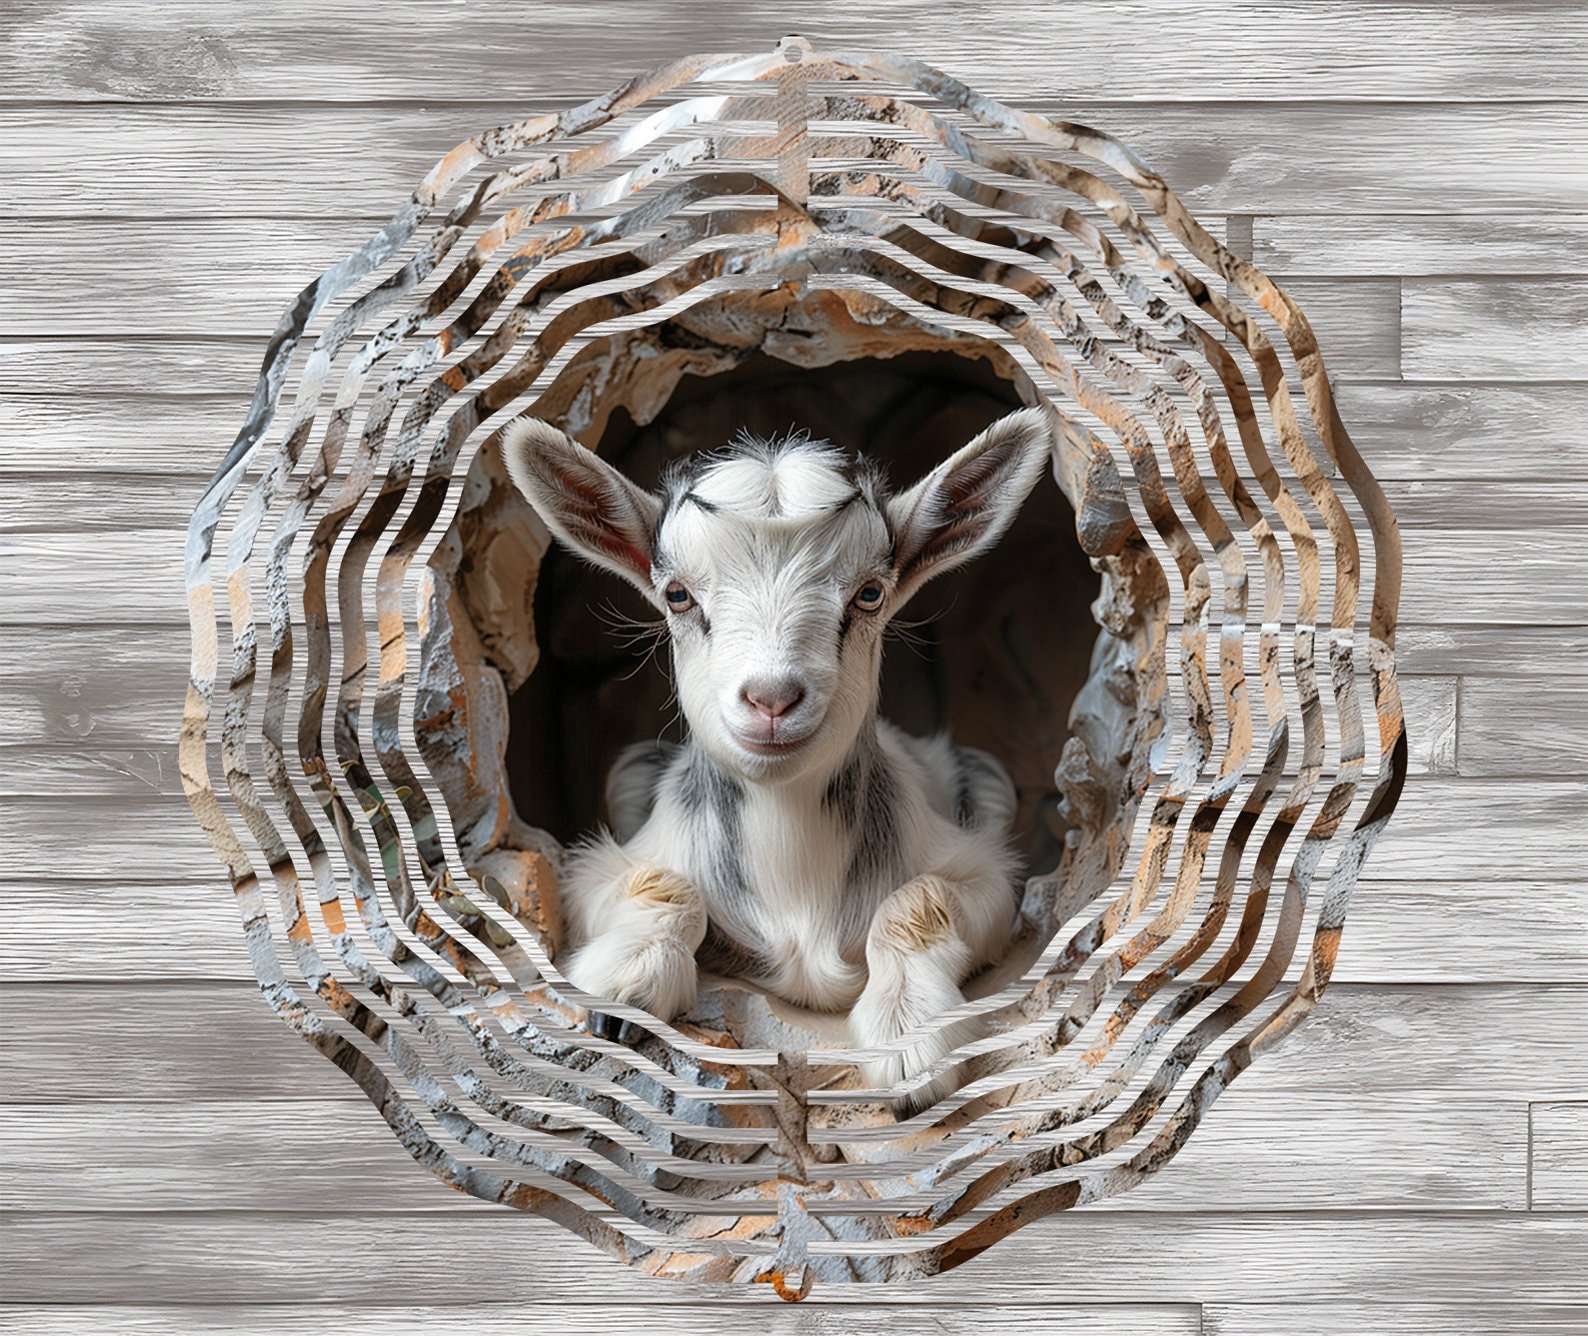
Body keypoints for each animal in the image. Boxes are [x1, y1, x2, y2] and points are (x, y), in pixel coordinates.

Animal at [501, 406, 1054, 1113]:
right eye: (677, 594)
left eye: (870, 594)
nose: (772, 698)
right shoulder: (598, 869)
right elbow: (663, 885)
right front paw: (623, 990)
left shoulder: (991, 880)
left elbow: (917, 904)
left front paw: (908, 1041)